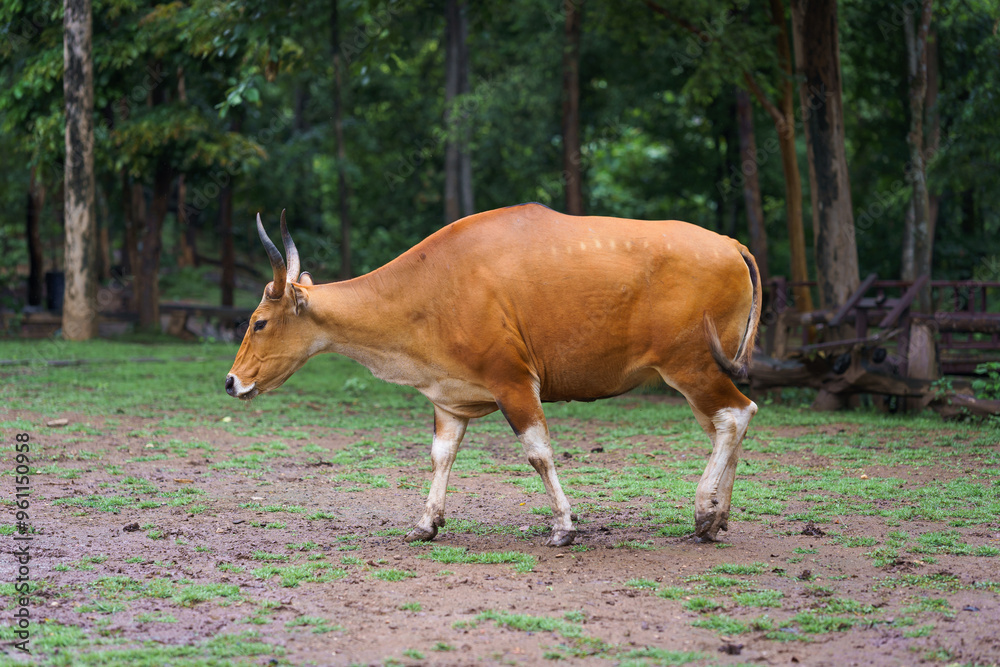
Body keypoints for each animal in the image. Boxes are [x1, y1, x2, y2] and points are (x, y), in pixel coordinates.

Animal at [226, 204, 760, 546]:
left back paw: (703, 511)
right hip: (697, 376)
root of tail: (730, 244)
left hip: (691, 368)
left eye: (259, 322)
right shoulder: (449, 399)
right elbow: (441, 456)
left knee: (736, 414)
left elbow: (539, 452)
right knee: (727, 425)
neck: (433, 285)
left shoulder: (515, 384)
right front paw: (426, 523)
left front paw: (564, 527)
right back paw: (719, 518)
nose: (232, 381)